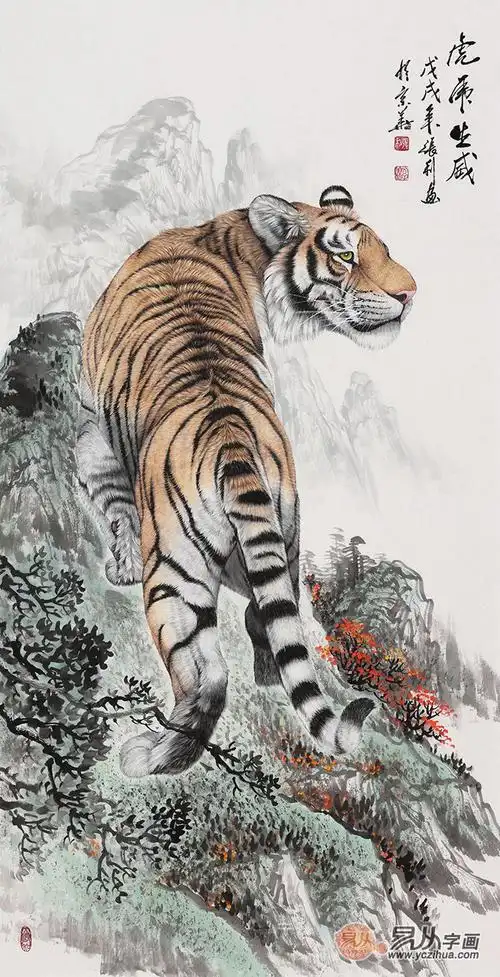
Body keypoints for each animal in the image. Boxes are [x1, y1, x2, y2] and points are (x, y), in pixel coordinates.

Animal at [77, 184, 416, 778]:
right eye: (346, 256)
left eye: (382, 250)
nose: (410, 293)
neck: (232, 238)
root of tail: (230, 437)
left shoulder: (94, 434)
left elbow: (113, 501)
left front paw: (120, 565)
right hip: (282, 529)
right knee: (268, 620)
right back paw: (265, 679)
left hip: (174, 571)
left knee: (207, 675)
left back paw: (148, 757)